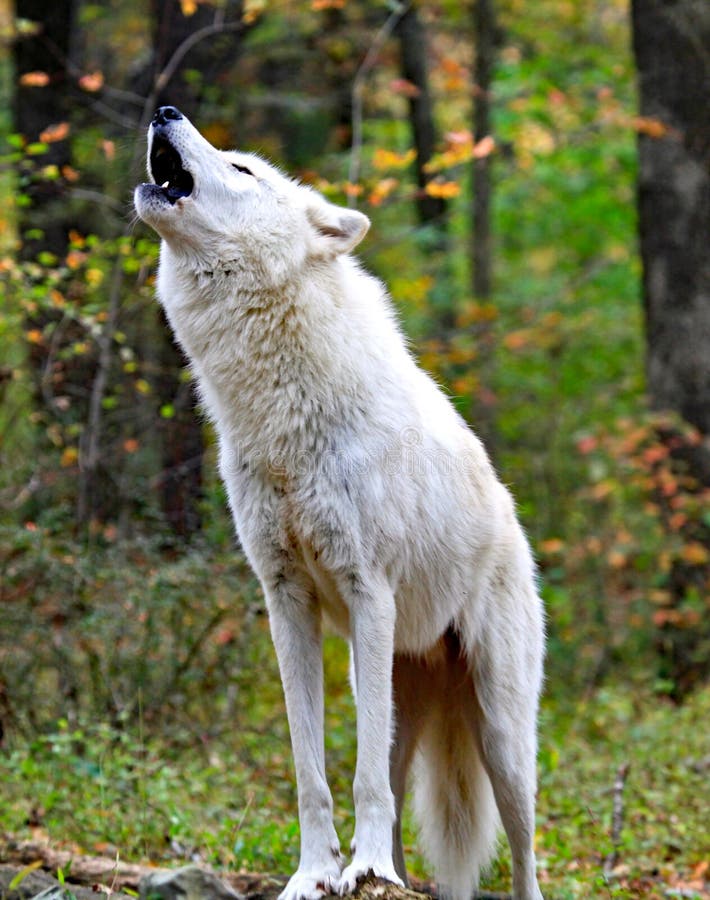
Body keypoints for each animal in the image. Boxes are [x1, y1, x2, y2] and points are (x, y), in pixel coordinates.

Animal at [135, 106, 545, 900]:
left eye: (242, 168)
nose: (165, 112)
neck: (275, 416)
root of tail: (513, 524)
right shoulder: (285, 599)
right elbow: (313, 772)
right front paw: (317, 873)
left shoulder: (368, 590)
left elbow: (361, 780)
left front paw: (363, 868)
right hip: (389, 683)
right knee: (401, 793)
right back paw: (395, 876)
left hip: (500, 733)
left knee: (519, 847)